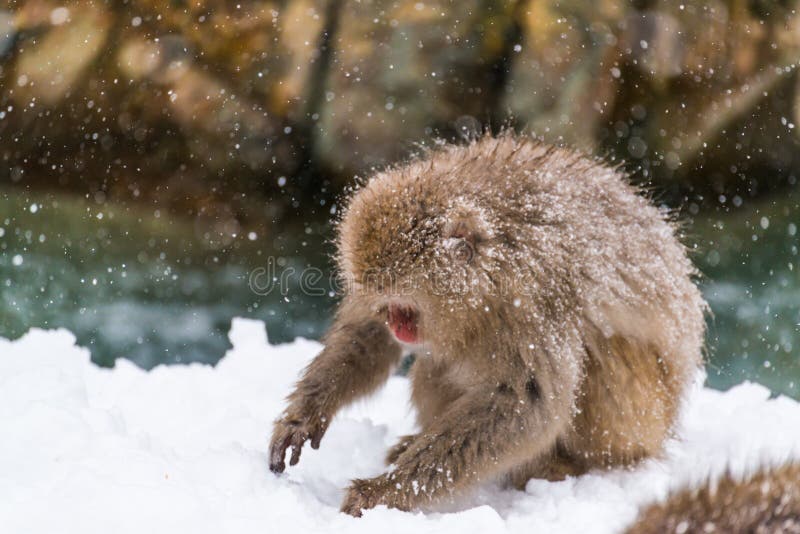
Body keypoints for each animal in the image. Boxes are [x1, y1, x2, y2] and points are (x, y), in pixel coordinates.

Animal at [268, 132, 708, 516]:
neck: (490, 268)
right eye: (387, 307)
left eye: (406, 309)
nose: (397, 326)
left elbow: (528, 405)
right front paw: (304, 415)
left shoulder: (533, 294)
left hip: (641, 415)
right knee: (436, 367)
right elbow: (367, 335)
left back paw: (563, 466)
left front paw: (383, 491)